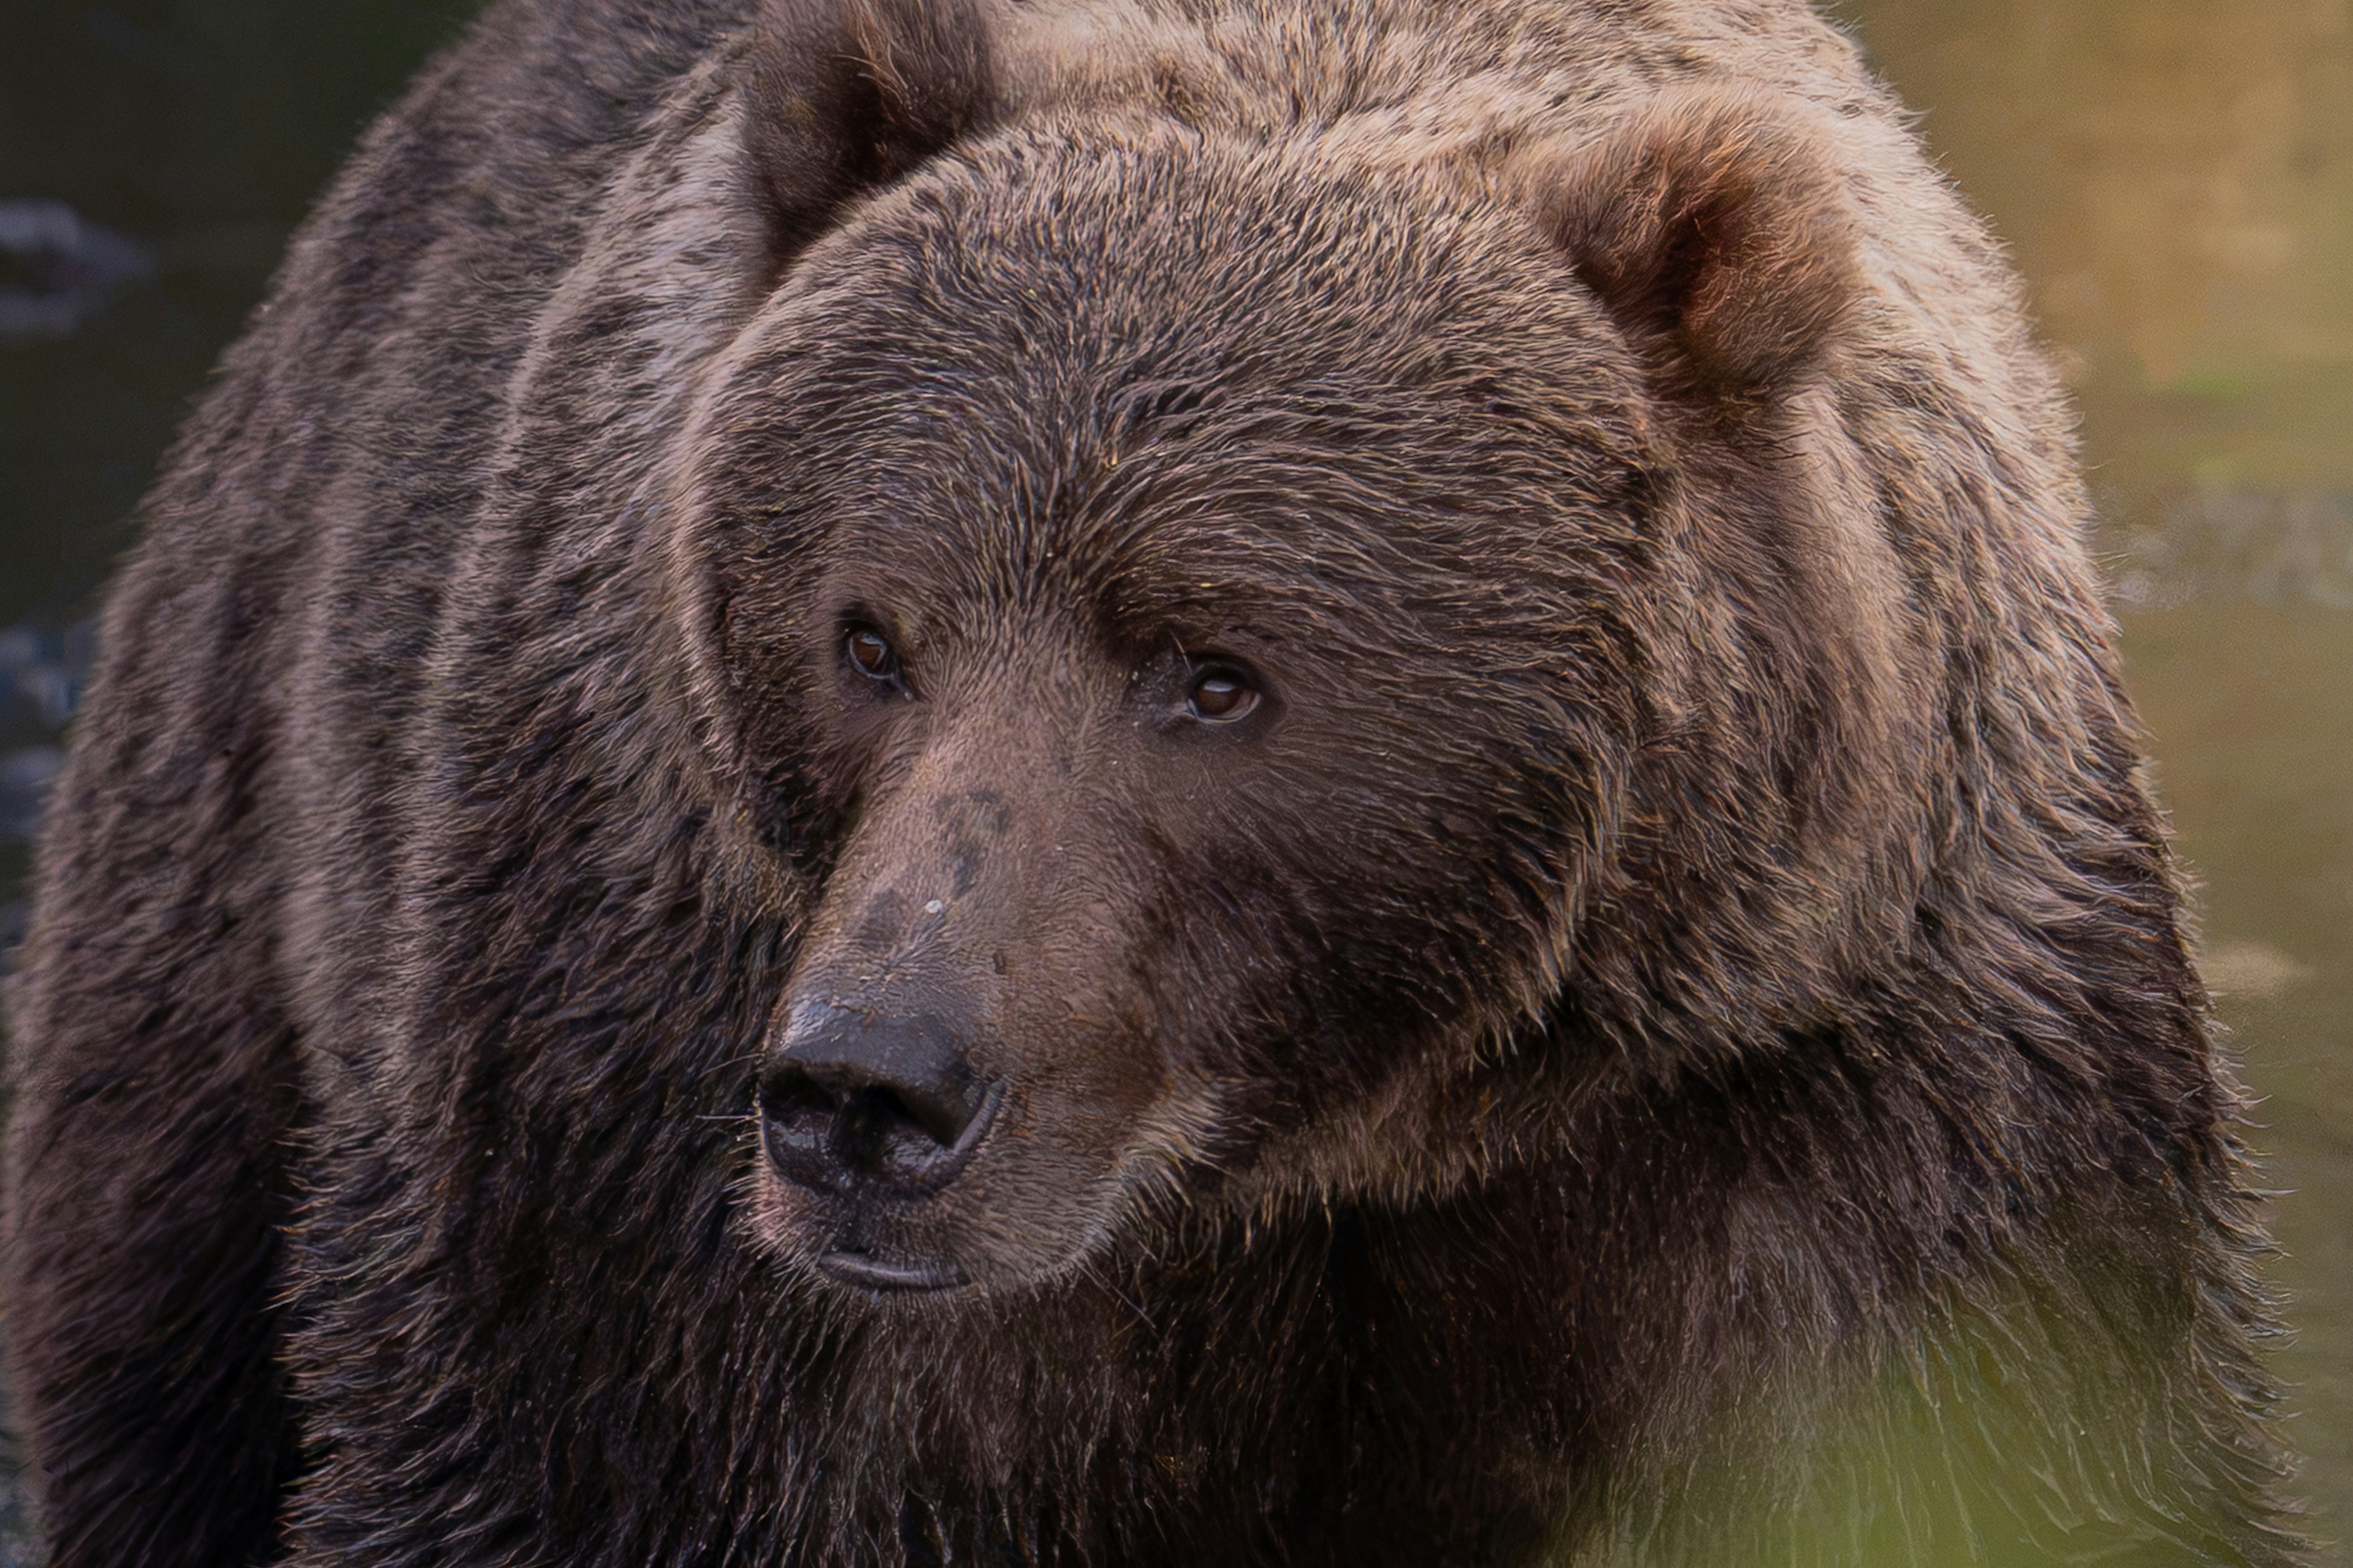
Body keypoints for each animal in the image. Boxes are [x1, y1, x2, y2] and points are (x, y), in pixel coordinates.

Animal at [0, 0, 2307, 1563]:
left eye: (1212, 669)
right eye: (871, 631)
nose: (872, 1087)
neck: (1326, 1146)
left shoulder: (1833, 1096)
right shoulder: (640, 1117)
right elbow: (580, 1456)